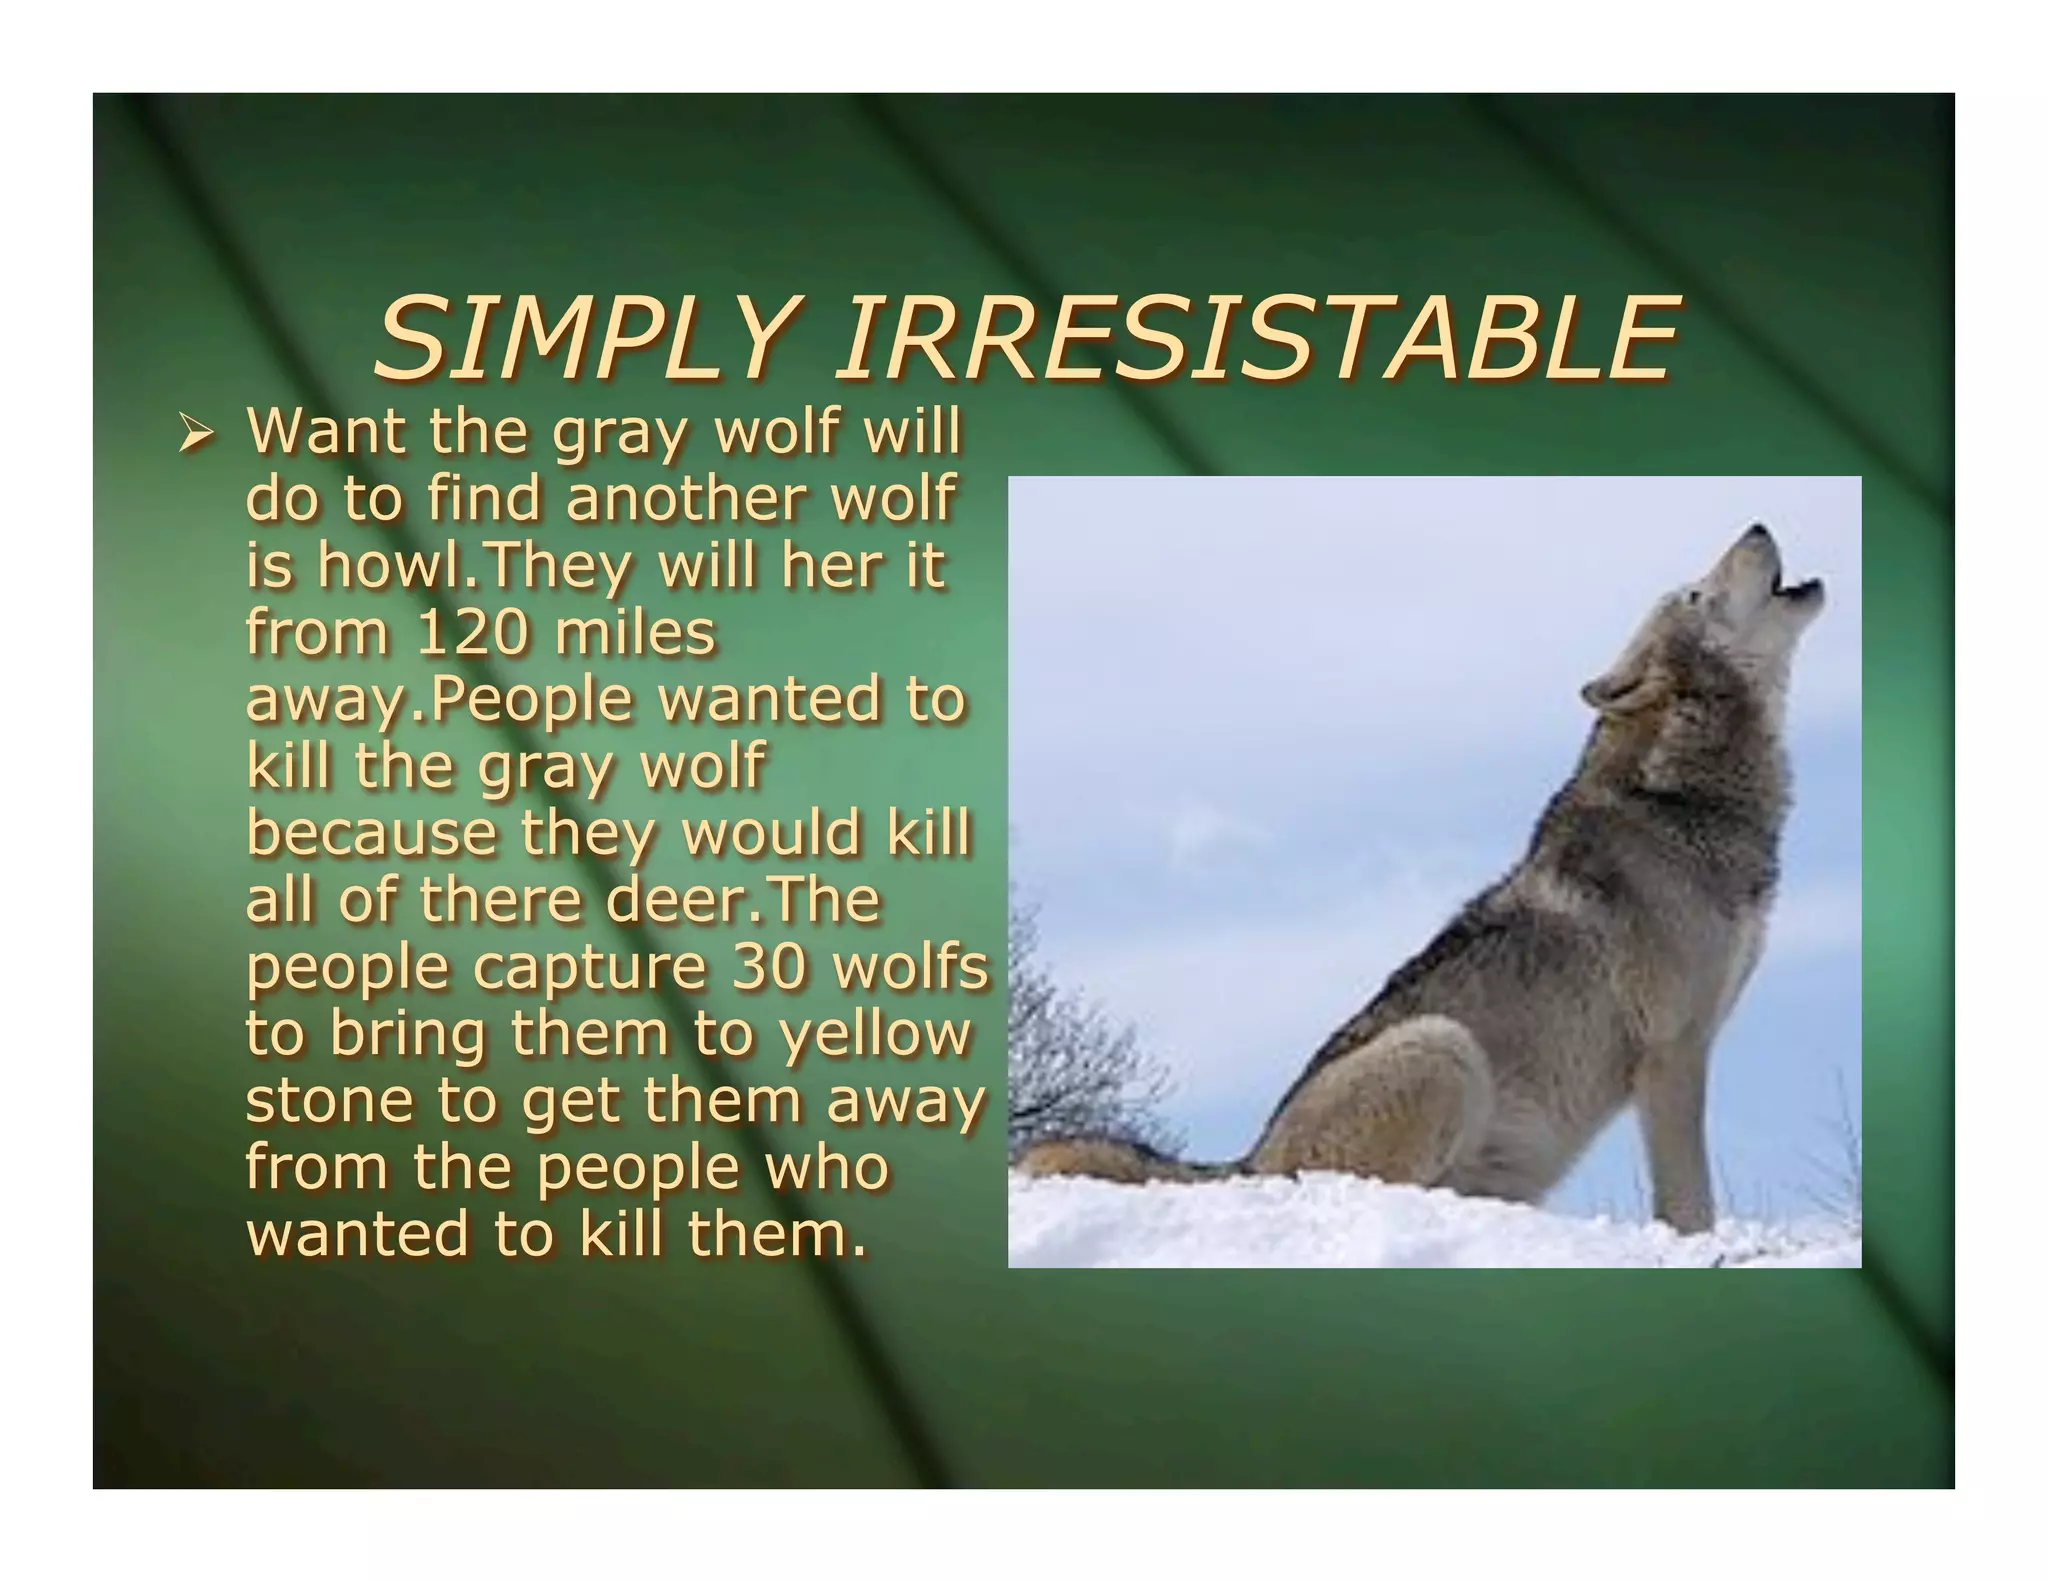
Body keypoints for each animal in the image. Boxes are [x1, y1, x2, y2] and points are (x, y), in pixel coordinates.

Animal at [1014, 524, 1825, 1234]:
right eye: (1696, 592)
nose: (1757, 523)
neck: (1682, 798)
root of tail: (1248, 1162)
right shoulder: (1674, 1053)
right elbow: (1689, 1201)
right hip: (1444, 1046)